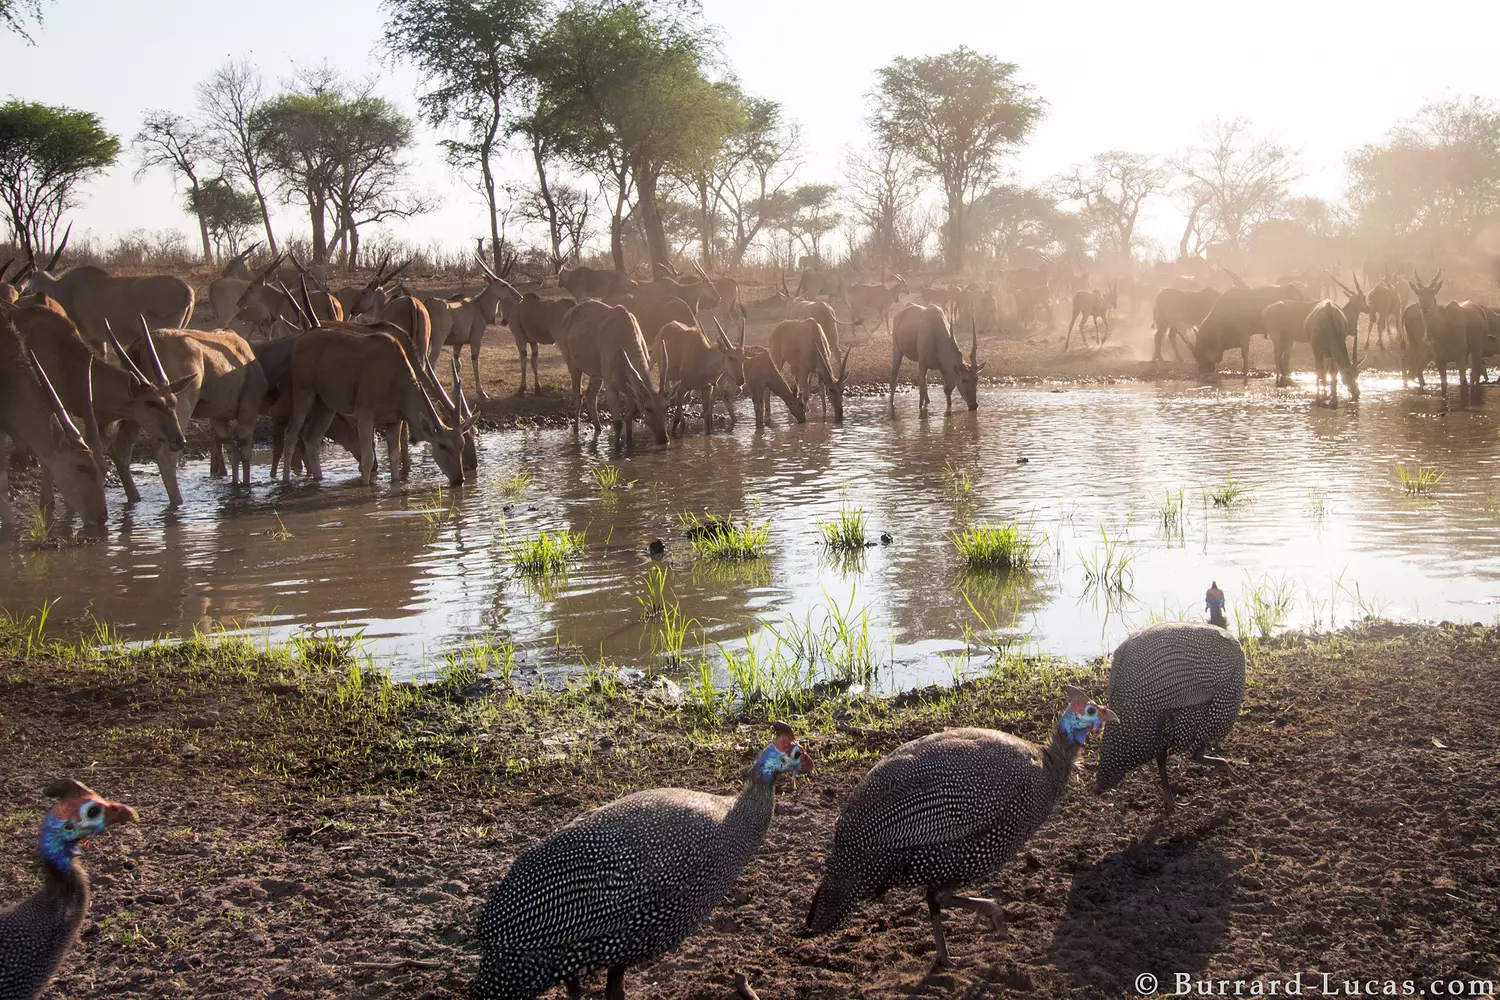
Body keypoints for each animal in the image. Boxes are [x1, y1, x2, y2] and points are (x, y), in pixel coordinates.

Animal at [280, 326, 468, 485]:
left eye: (462, 445)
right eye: (442, 445)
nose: (459, 479)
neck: (395, 378)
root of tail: (299, 341)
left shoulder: (394, 421)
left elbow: (394, 457)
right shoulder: (365, 415)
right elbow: (367, 459)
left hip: (326, 406)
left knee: (311, 438)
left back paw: (318, 479)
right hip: (304, 394)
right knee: (290, 434)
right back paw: (286, 482)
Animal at [552, 296, 669, 446]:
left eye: (666, 407)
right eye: (648, 408)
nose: (664, 438)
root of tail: (567, 315)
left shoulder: (630, 388)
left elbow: (628, 418)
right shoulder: (610, 386)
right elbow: (618, 423)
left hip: (597, 374)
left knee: (591, 396)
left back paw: (598, 429)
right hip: (571, 363)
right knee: (578, 395)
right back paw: (576, 431)